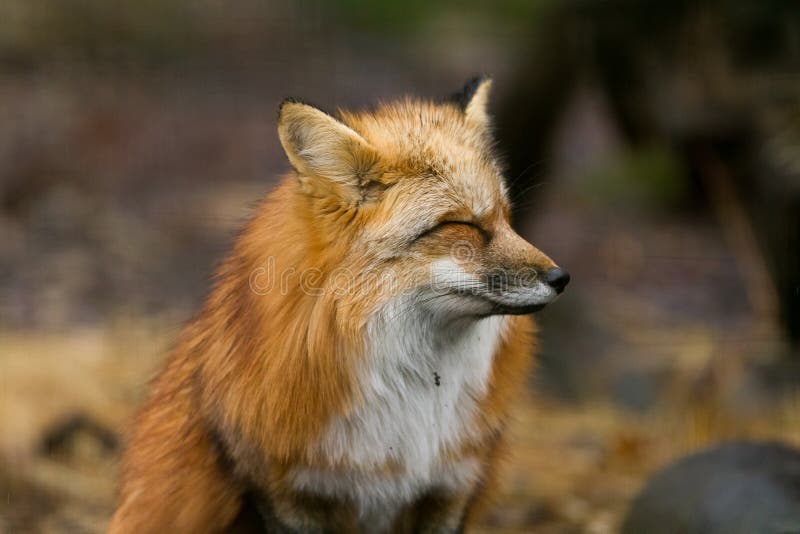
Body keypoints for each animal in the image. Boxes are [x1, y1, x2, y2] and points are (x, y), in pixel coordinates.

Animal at [108, 76, 570, 533]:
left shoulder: (450, 488)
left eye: (507, 219)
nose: (561, 278)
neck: (414, 392)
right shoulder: (284, 491)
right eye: (461, 224)